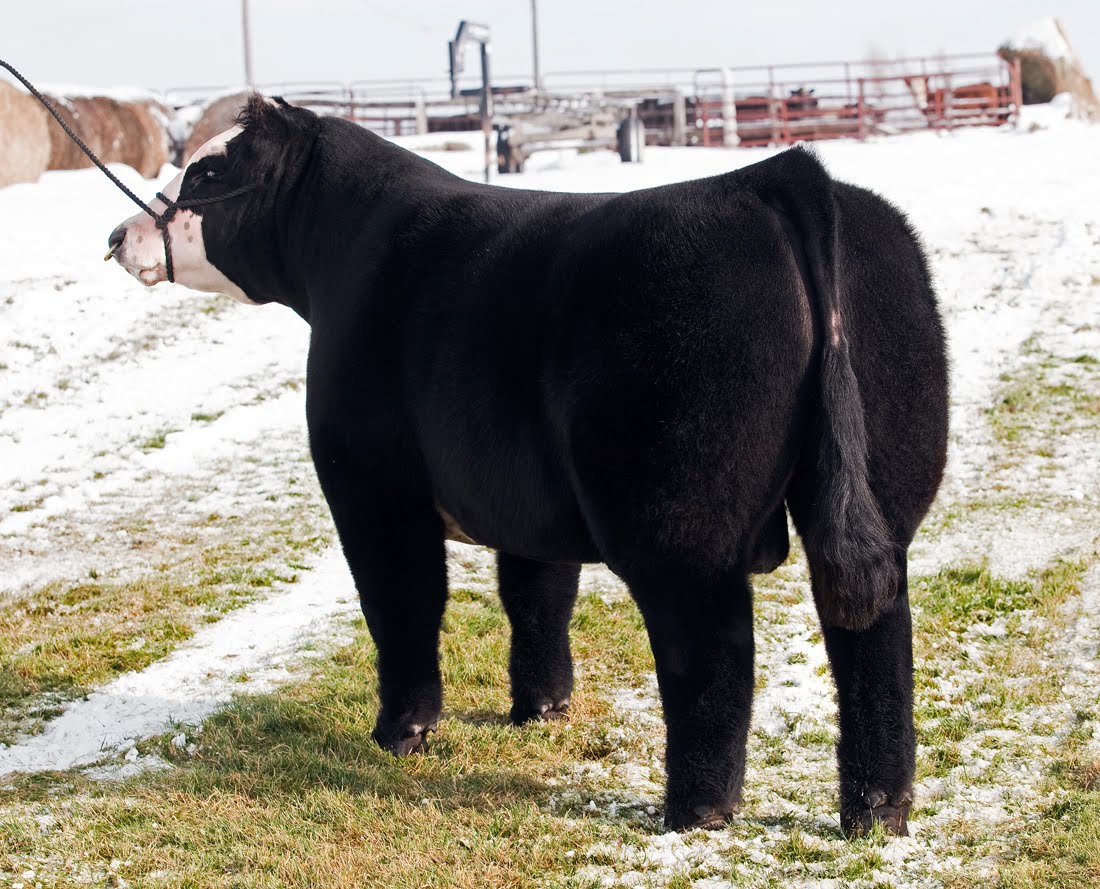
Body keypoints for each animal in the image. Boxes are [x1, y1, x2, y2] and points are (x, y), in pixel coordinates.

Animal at [107, 95, 949, 836]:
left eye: (210, 171)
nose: (119, 233)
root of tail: (779, 177)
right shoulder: (524, 494)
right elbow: (537, 594)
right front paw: (539, 706)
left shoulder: (373, 487)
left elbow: (403, 603)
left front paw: (401, 731)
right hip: (884, 487)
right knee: (874, 635)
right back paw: (876, 810)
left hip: (678, 524)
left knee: (713, 651)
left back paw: (695, 809)